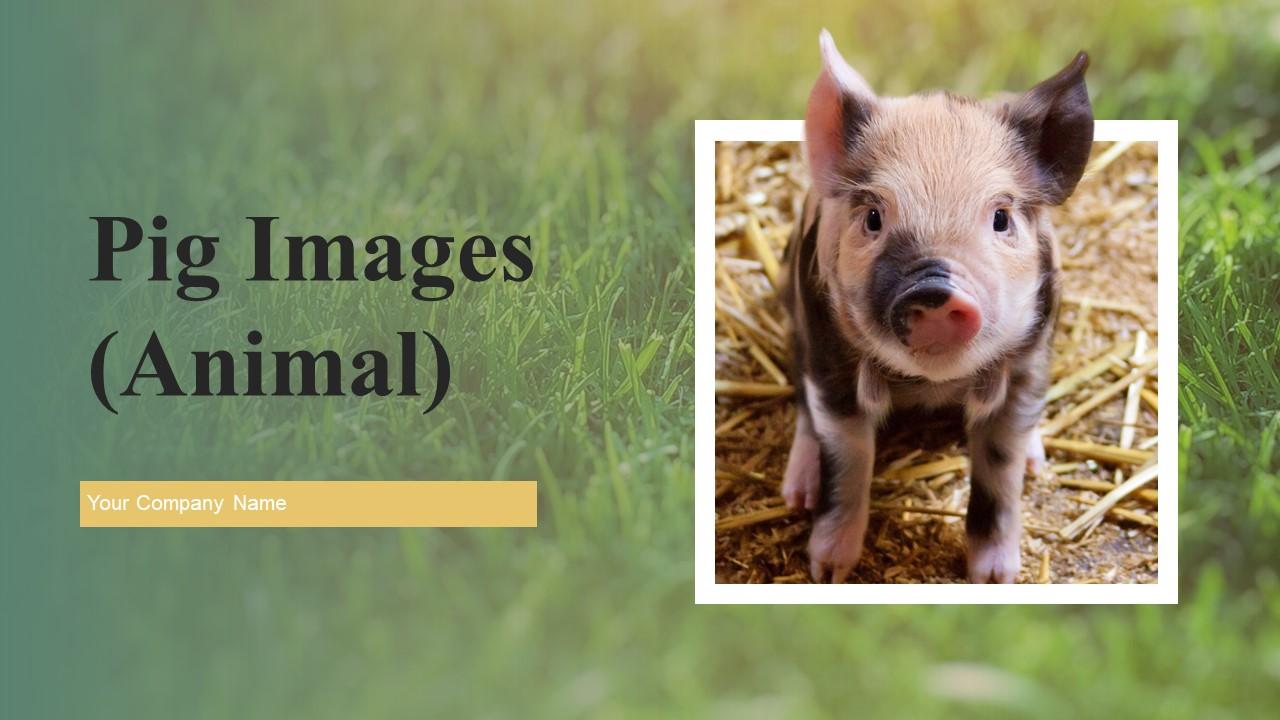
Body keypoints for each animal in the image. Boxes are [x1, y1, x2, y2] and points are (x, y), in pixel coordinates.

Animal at [779, 31, 1093, 583]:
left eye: (1001, 218)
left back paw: (1037, 463)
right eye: (874, 216)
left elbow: (1000, 467)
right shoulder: (828, 355)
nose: (934, 290)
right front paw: (828, 571)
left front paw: (995, 579)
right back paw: (797, 495)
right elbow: (848, 460)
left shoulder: (1030, 361)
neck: (931, 386)